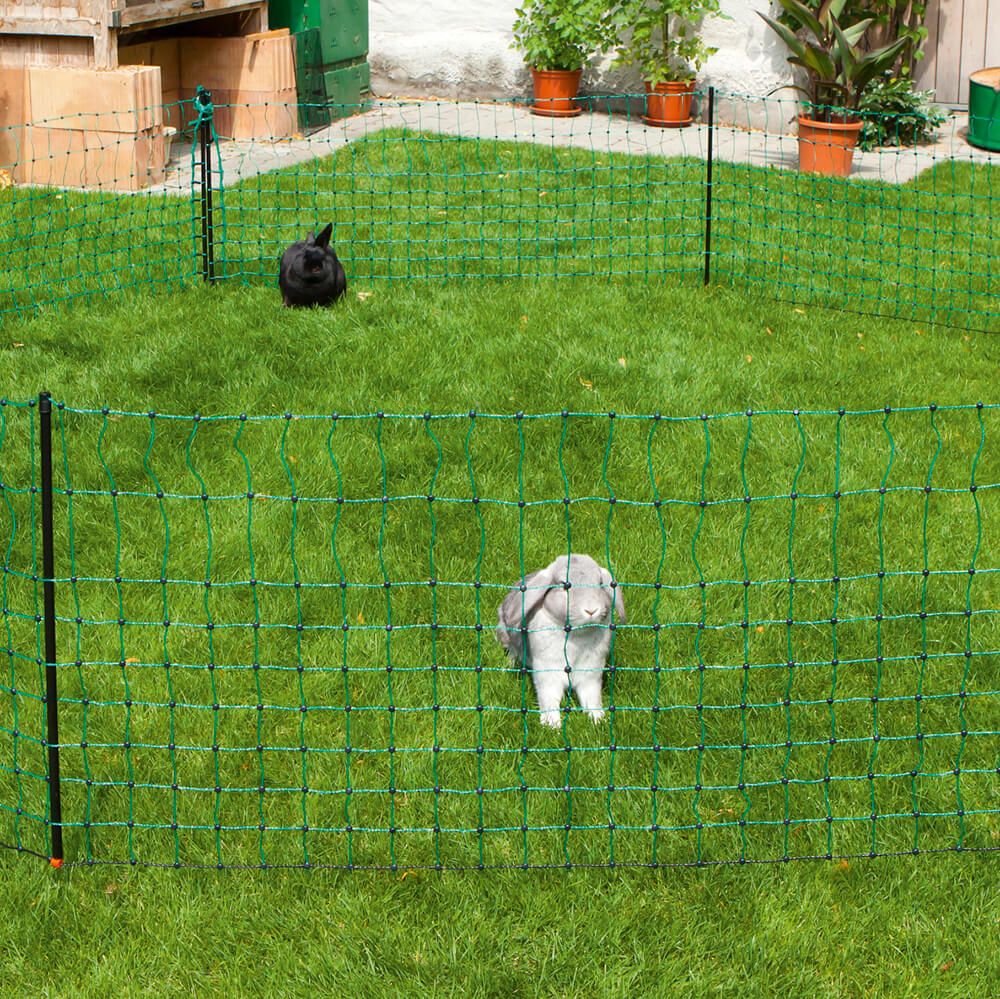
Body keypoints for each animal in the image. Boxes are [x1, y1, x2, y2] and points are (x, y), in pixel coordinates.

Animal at [496, 553, 625, 728]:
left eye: (599, 583)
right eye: (565, 586)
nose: (591, 610)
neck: (576, 635)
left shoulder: (591, 675)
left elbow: (591, 698)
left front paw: (598, 719)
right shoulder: (547, 673)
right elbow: (549, 698)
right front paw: (552, 724)